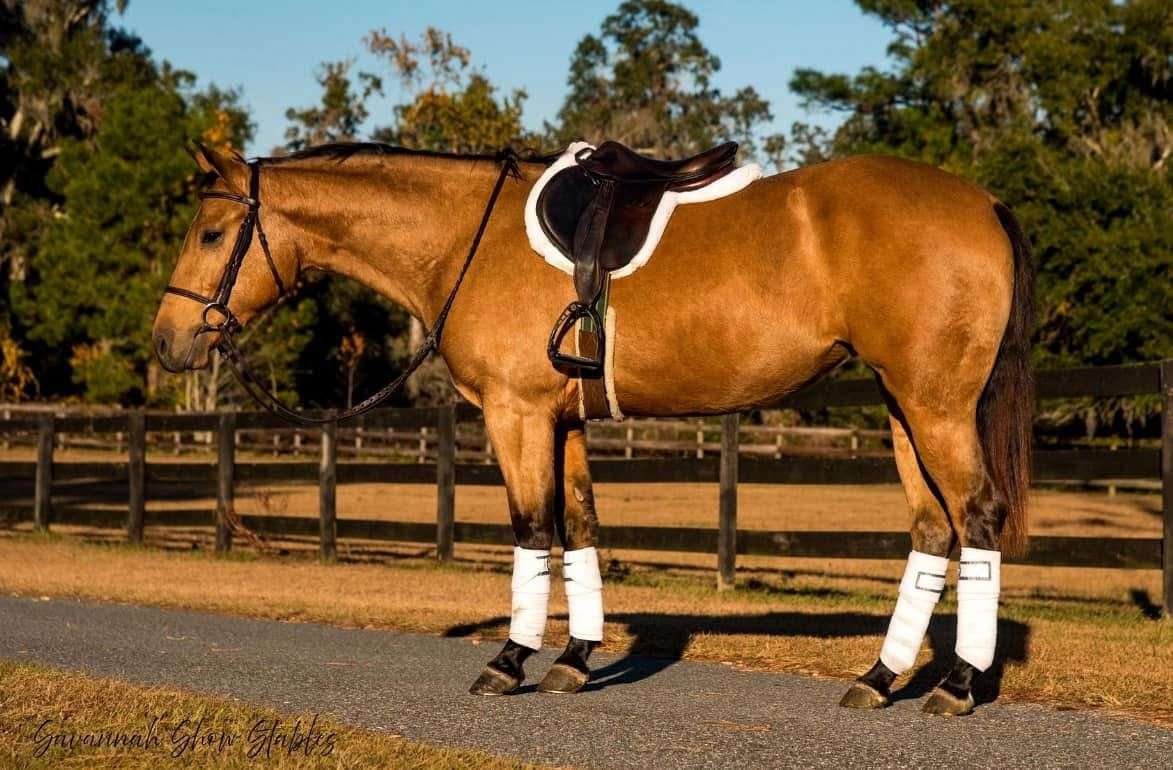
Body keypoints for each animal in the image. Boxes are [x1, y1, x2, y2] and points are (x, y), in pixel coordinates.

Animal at [152, 141, 1033, 716]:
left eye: (210, 234)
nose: (168, 341)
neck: (468, 239)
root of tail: (984, 202)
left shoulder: (514, 414)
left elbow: (531, 530)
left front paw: (509, 662)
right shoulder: (561, 422)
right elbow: (578, 530)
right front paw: (573, 662)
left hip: (935, 406)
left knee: (976, 518)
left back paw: (957, 685)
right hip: (901, 407)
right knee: (932, 530)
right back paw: (879, 678)